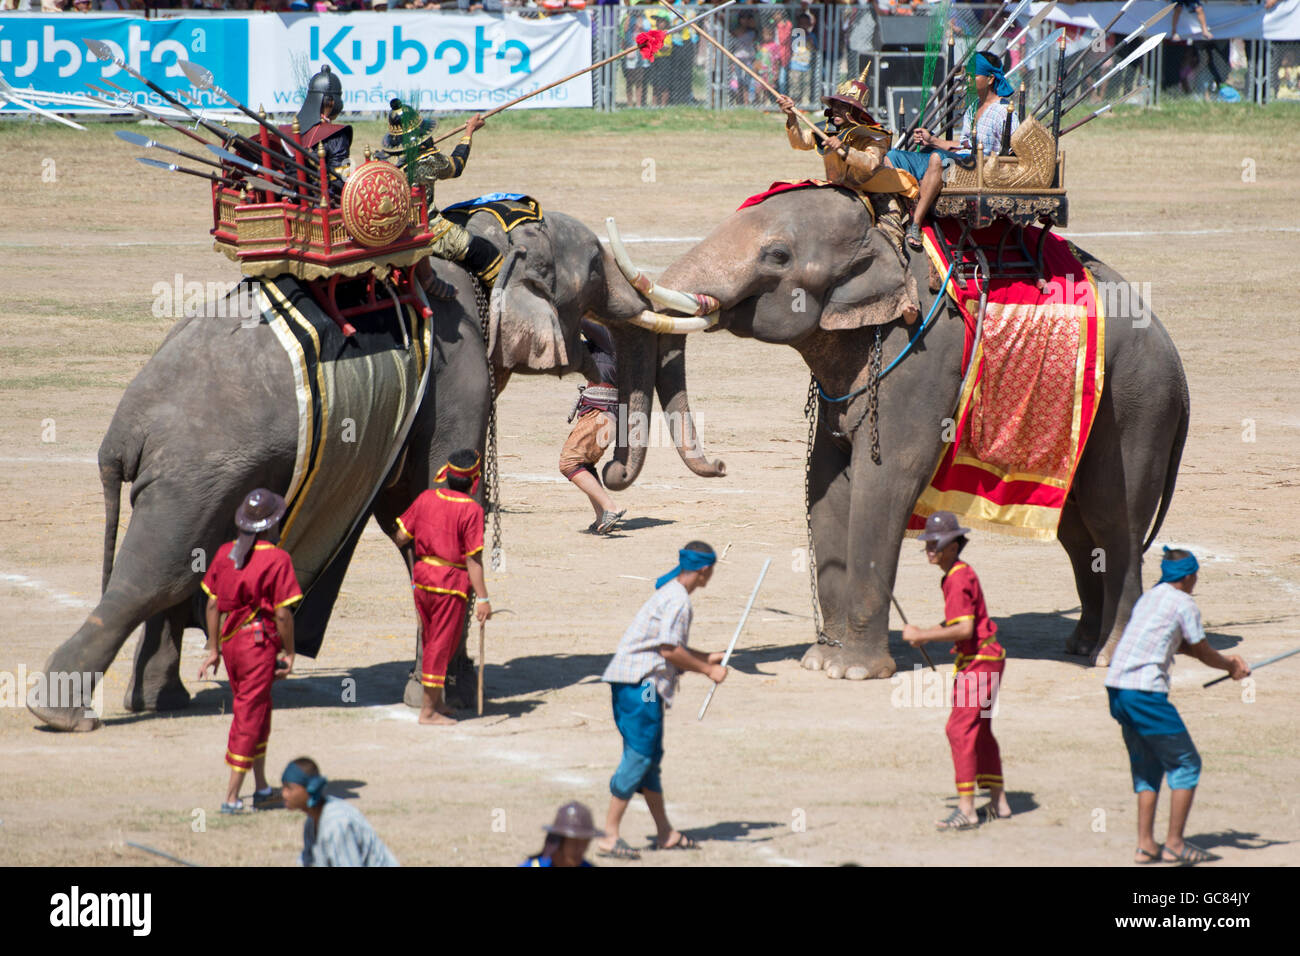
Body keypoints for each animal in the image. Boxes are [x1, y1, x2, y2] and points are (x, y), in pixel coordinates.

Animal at [27, 208, 723, 732]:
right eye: (599, 267)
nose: (611, 473)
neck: (480, 243)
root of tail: (123, 433)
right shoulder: (458, 367)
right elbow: (444, 494)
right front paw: (444, 697)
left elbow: (410, 517)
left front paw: (452, 684)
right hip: (195, 471)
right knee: (154, 573)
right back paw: (65, 716)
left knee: (183, 571)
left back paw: (158, 701)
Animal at [611, 186, 1188, 680]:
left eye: (776, 256)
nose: (720, 465)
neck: (881, 234)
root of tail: (1179, 370)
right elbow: (827, 486)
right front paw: (821, 661)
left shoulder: (921, 357)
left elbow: (885, 481)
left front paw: (853, 671)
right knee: (1077, 529)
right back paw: (1083, 646)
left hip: (1137, 403)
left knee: (1115, 519)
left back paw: (1111, 656)